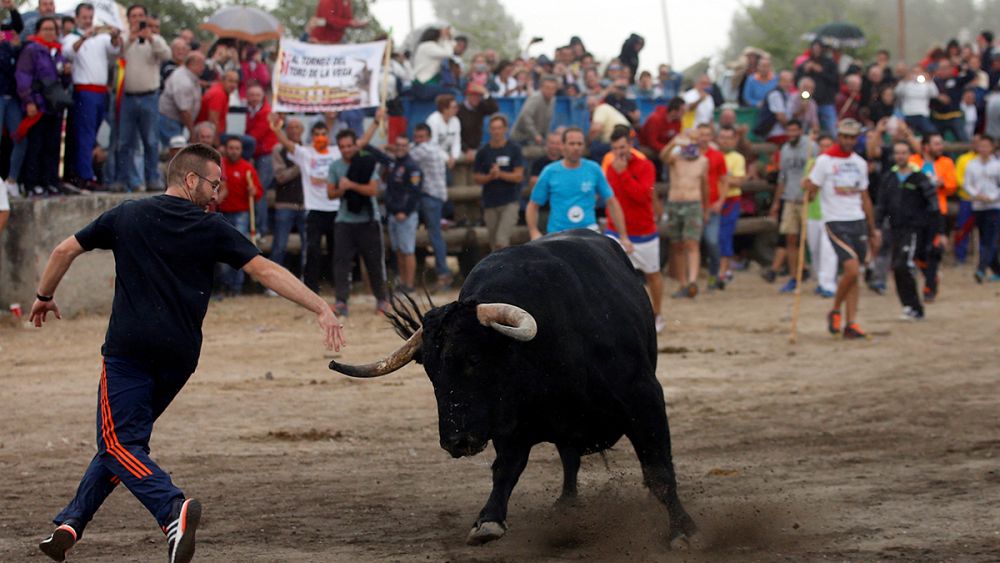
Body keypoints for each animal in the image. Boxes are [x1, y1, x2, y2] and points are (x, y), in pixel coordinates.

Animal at [328, 229, 697, 547]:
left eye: (474, 359)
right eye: (430, 371)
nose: (455, 441)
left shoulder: (644, 397)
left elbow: (659, 469)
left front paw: (682, 530)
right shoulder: (510, 422)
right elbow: (506, 468)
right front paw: (488, 520)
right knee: (569, 459)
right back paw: (566, 503)